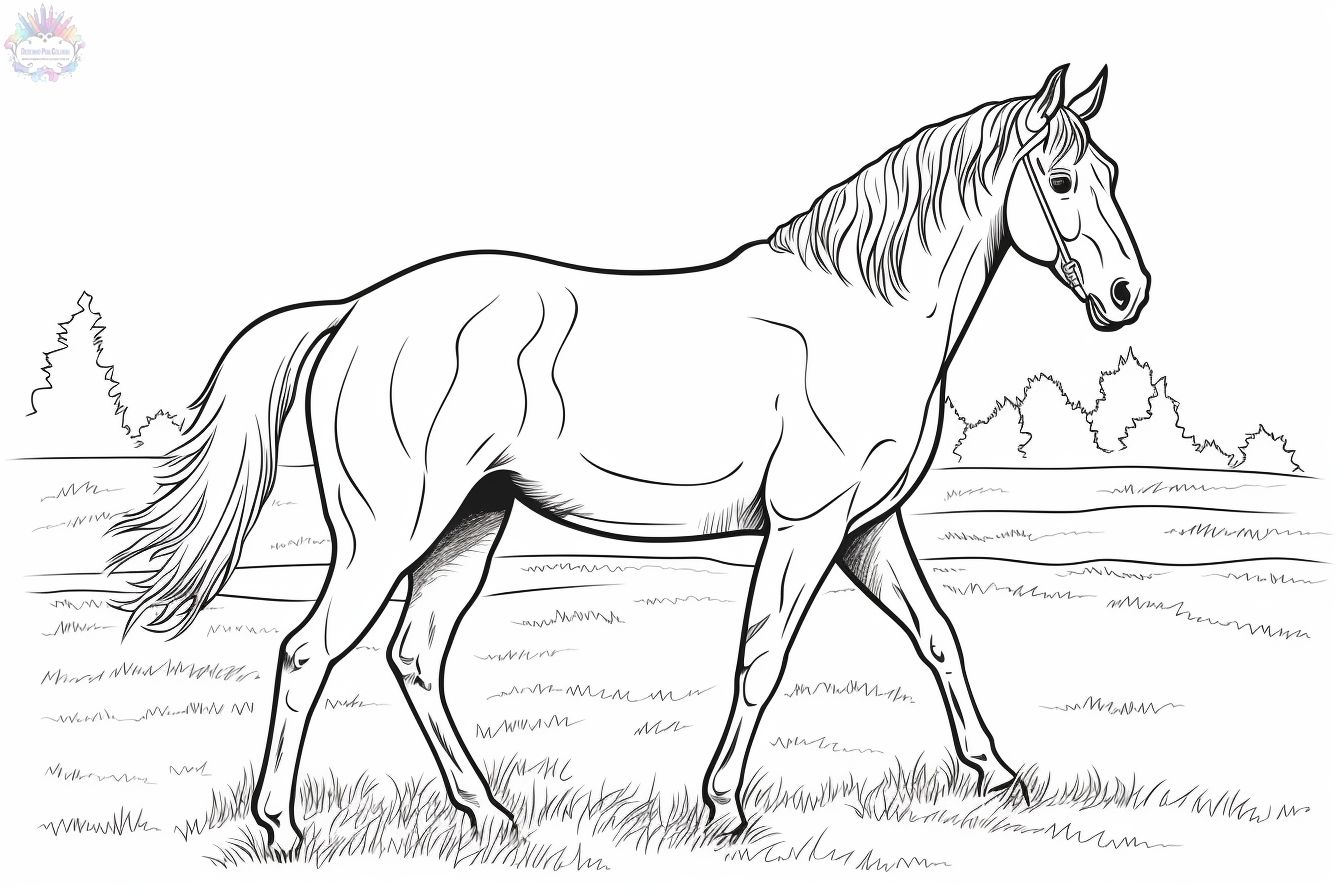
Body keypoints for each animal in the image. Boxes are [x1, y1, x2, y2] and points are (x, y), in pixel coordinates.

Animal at [108, 64, 1148, 853]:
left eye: (1111, 169)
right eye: (1061, 182)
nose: (1128, 294)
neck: (862, 316)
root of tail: (354, 313)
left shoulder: (867, 528)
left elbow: (939, 635)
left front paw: (999, 775)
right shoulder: (806, 527)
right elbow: (762, 655)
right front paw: (724, 807)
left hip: (467, 524)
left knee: (416, 655)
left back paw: (489, 815)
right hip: (388, 532)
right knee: (307, 651)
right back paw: (282, 830)